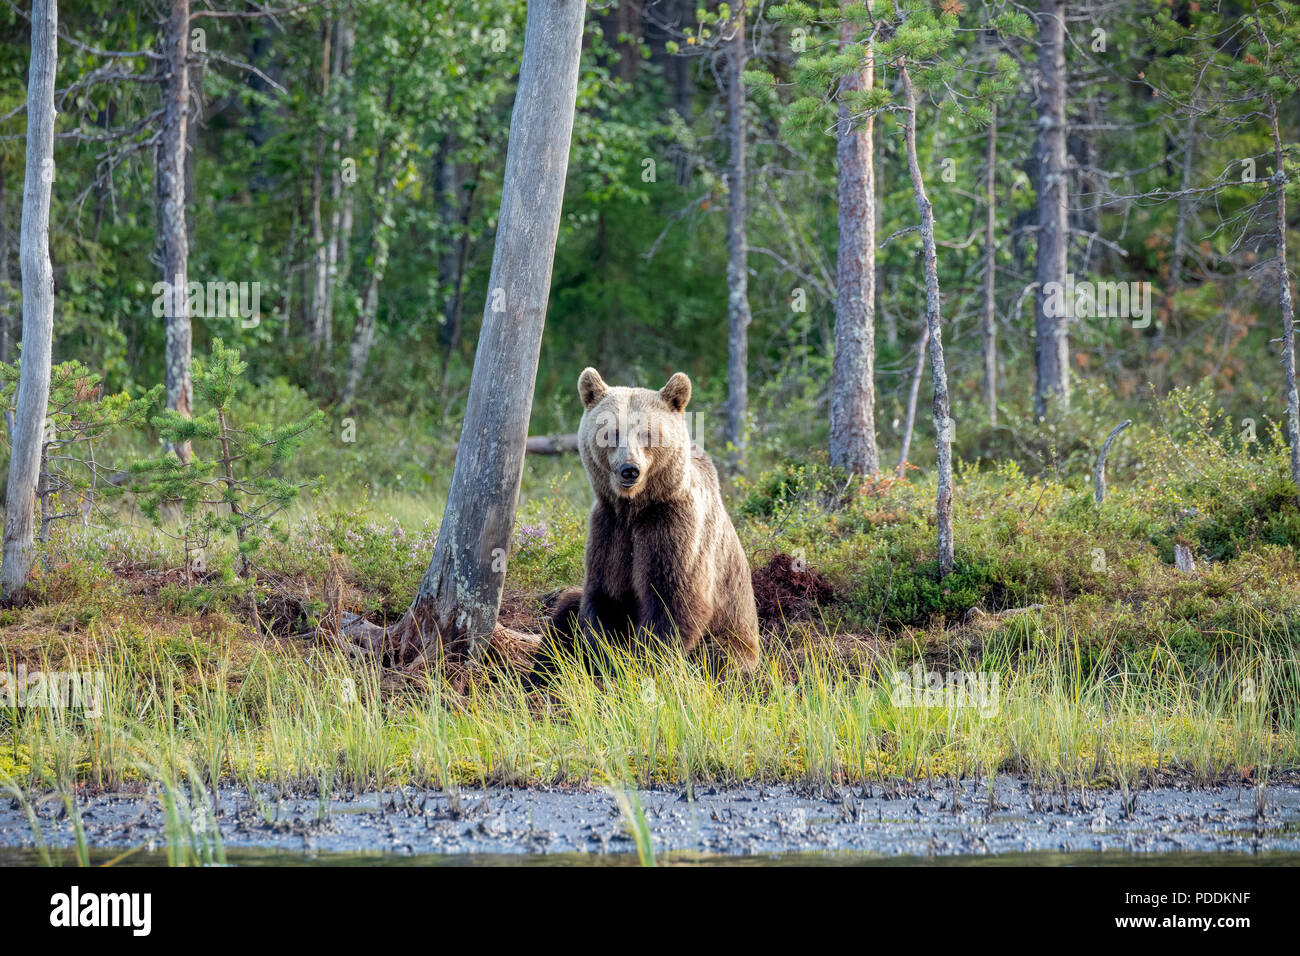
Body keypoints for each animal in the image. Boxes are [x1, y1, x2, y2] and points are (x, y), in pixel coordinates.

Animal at [546, 367, 761, 672]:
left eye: (647, 434)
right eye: (611, 433)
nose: (629, 470)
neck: (635, 507)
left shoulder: (674, 525)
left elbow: (673, 600)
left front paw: (646, 663)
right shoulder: (609, 528)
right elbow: (605, 597)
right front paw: (608, 657)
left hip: (735, 637)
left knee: (719, 657)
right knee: (566, 610)